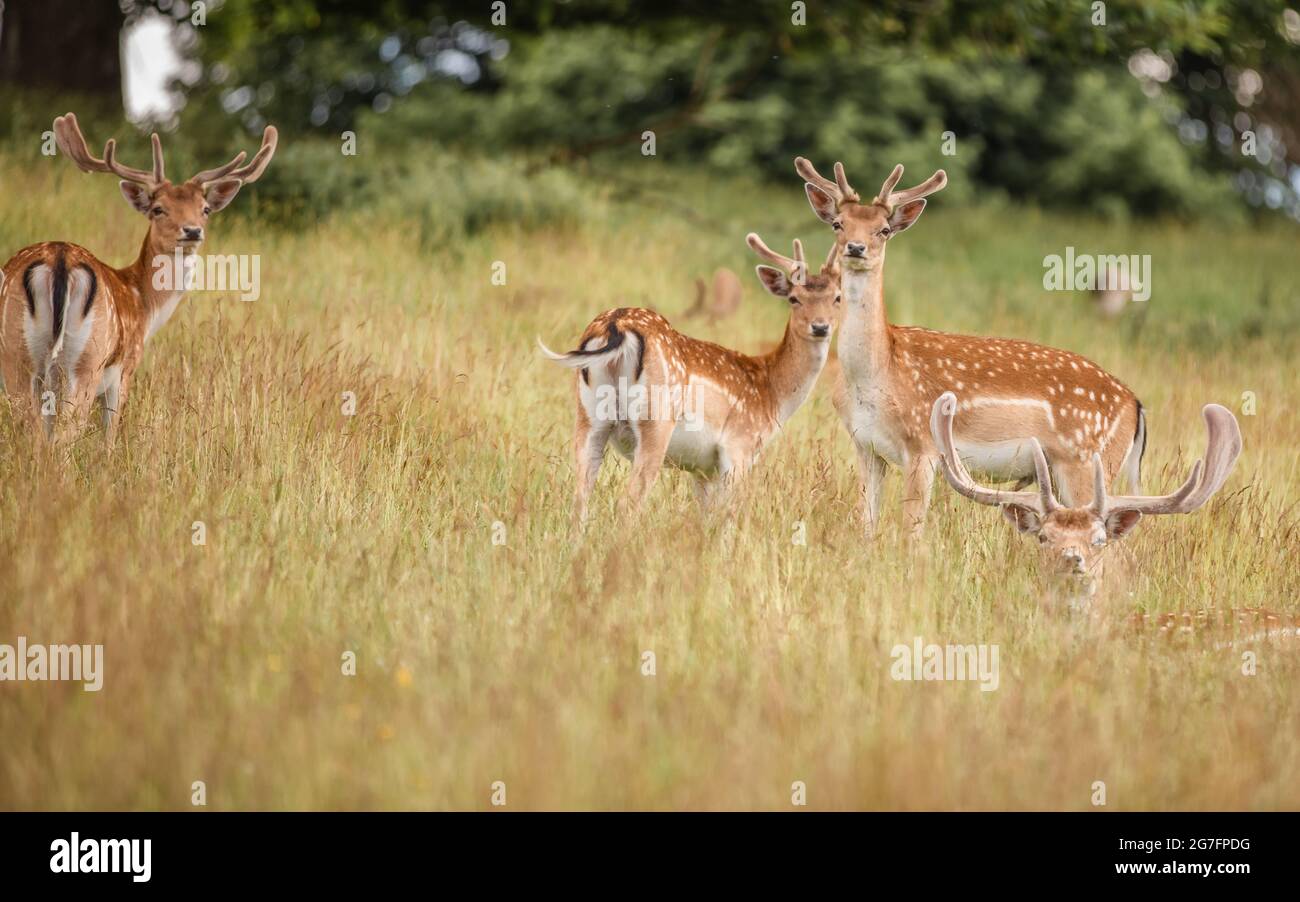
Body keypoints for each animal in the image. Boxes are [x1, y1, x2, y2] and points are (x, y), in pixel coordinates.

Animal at [0, 112, 277, 445]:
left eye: (206, 209)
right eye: (158, 209)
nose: (192, 230)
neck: (144, 305)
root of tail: (59, 261)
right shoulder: (125, 369)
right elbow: (108, 438)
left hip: (17, 353)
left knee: (31, 431)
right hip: (85, 362)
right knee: (65, 432)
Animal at [538, 233, 840, 525]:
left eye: (837, 297)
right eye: (794, 298)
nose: (820, 327)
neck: (772, 394)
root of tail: (617, 326)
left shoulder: (702, 468)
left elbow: (706, 517)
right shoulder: (738, 447)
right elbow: (728, 518)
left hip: (589, 416)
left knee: (580, 499)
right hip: (656, 420)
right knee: (629, 502)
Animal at [793, 157, 1148, 539]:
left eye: (884, 229)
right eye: (838, 224)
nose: (856, 248)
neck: (876, 373)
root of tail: (1135, 405)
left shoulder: (922, 445)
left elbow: (911, 531)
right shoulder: (866, 446)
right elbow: (866, 525)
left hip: (1087, 462)